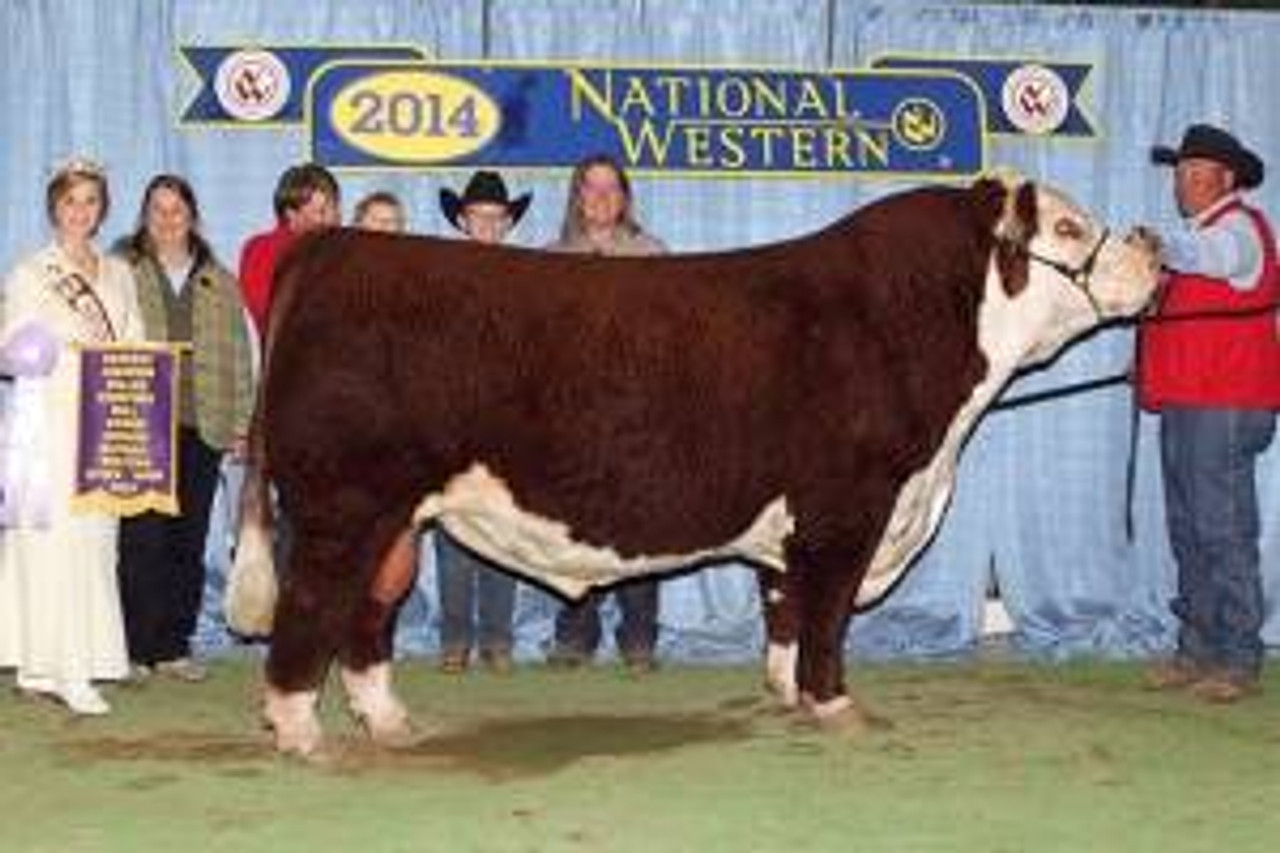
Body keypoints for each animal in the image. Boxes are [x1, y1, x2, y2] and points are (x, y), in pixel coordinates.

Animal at [226, 173, 1160, 756]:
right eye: (1069, 227)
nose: (1154, 245)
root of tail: (333, 246)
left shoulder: (798, 522)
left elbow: (786, 606)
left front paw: (784, 691)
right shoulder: (847, 507)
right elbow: (828, 613)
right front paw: (835, 702)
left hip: (392, 515)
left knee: (367, 615)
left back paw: (389, 722)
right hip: (345, 503)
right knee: (312, 606)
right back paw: (299, 730)